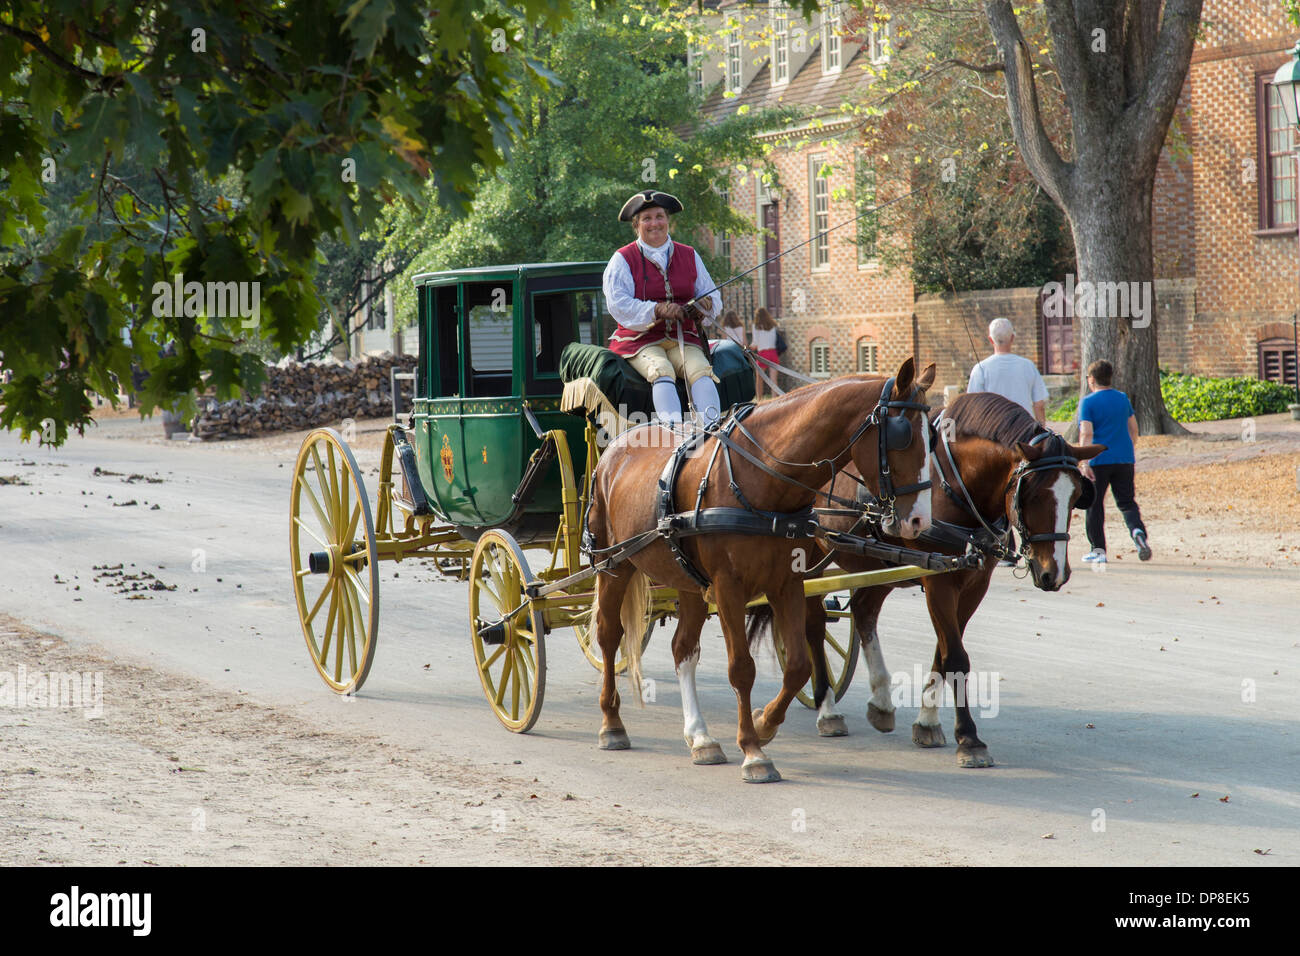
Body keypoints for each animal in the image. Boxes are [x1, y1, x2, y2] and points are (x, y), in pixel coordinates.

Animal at [585, 358, 936, 783]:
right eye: (902, 435)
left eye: (934, 436)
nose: (919, 521)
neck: (762, 479)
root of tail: (616, 446)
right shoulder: (728, 587)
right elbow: (741, 669)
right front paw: (753, 751)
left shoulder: (788, 583)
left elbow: (799, 665)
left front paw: (765, 723)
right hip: (613, 565)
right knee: (608, 635)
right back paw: (611, 723)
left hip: (686, 581)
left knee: (683, 649)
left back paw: (700, 737)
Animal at [749, 391, 1103, 768]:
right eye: (1032, 493)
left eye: (1077, 494)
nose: (1054, 573)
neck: (955, 484)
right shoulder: (939, 581)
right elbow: (956, 657)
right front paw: (970, 739)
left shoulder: (974, 581)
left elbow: (944, 652)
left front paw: (928, 722)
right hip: (808, 559)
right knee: (814, 625)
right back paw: (827, 709)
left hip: (881, 562)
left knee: (863, 610)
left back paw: (881, 701)